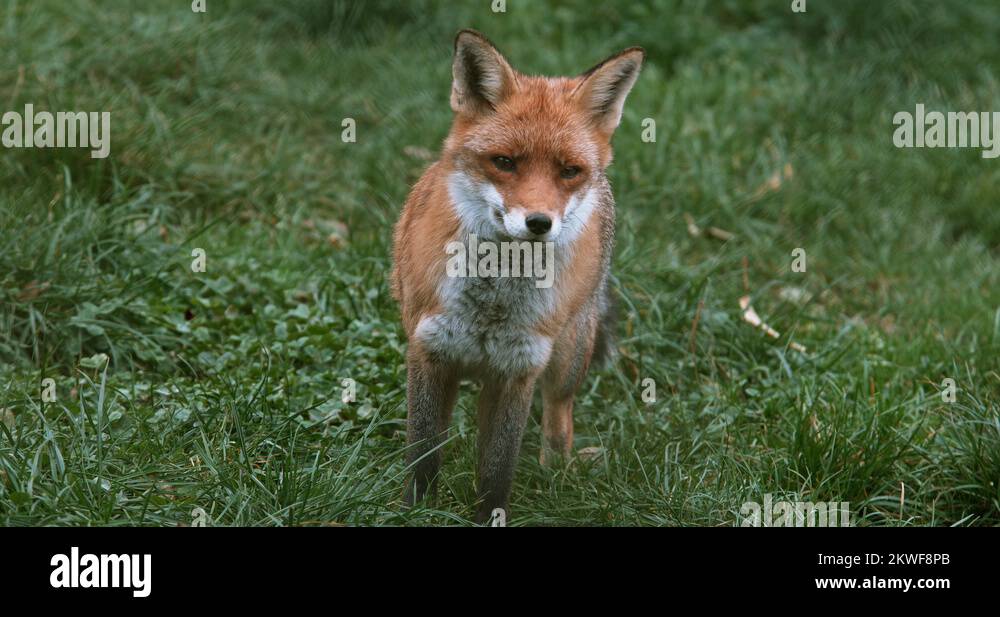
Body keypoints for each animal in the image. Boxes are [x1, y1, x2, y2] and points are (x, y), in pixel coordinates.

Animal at [391, 29, 644, 523]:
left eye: (569, 171)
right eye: (505, 162)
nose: (539, 222)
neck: (492, 304)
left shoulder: (518, 369)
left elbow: (496, 470)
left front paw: (490, 518)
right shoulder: (429, 350)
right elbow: (424, 455)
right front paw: (416, 512)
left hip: (569, 353)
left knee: (559, 416)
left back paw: (557, 474)